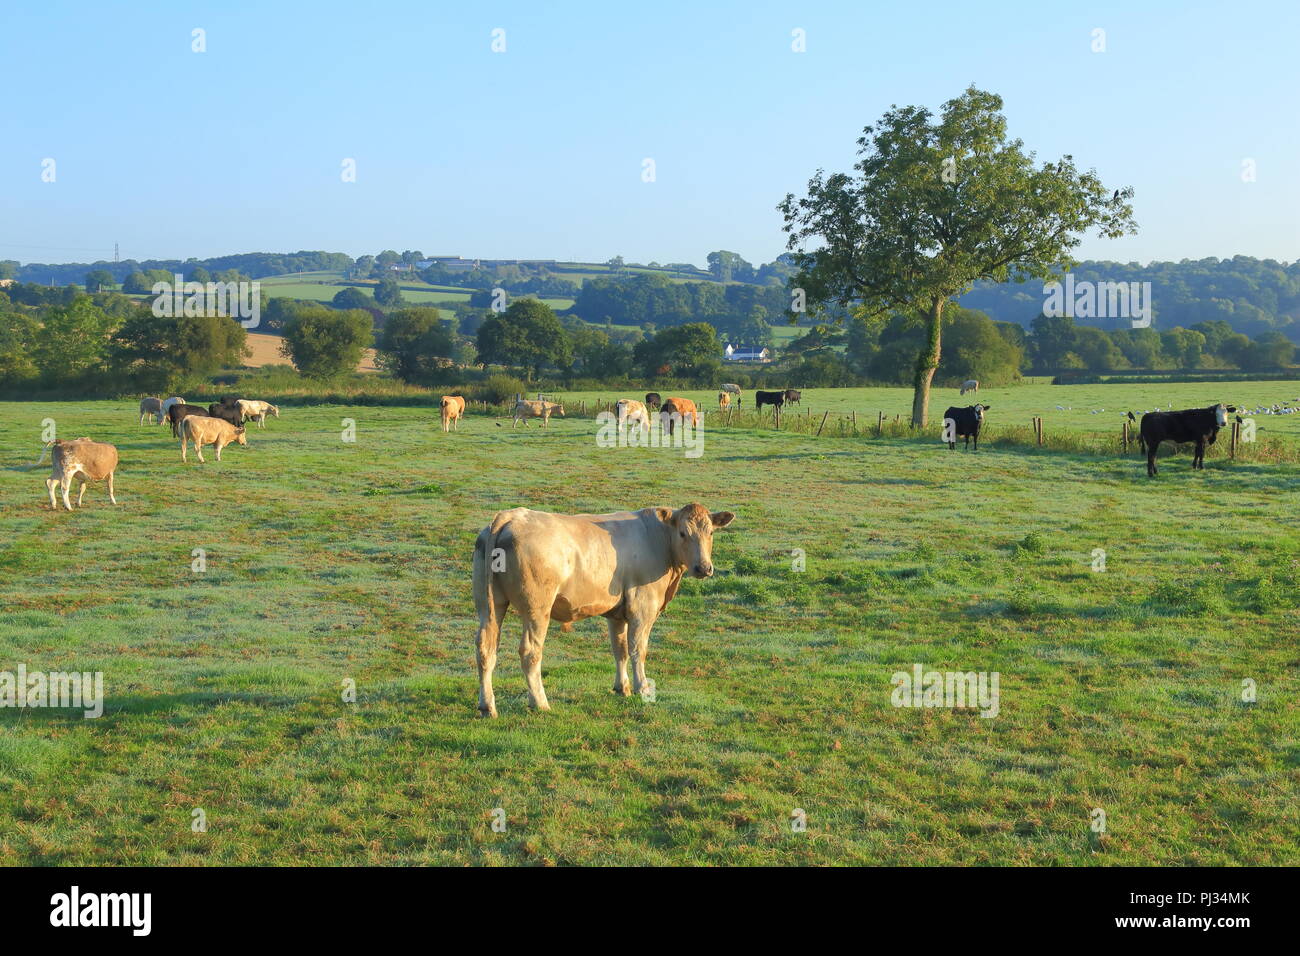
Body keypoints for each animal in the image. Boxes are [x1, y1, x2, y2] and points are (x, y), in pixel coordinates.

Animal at [471, 503, 736, 716]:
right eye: (682, 533)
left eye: (711, 532)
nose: (704, 568)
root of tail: (510, 516)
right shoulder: (643, 606)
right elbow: (638, 649)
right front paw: (642, 688)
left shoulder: (617, 612)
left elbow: (620, 650)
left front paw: (622, 687)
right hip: (537, 609)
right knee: (530, 652)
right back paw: (540, 703)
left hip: (489, 605)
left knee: (486, 649)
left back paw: (487, 706)